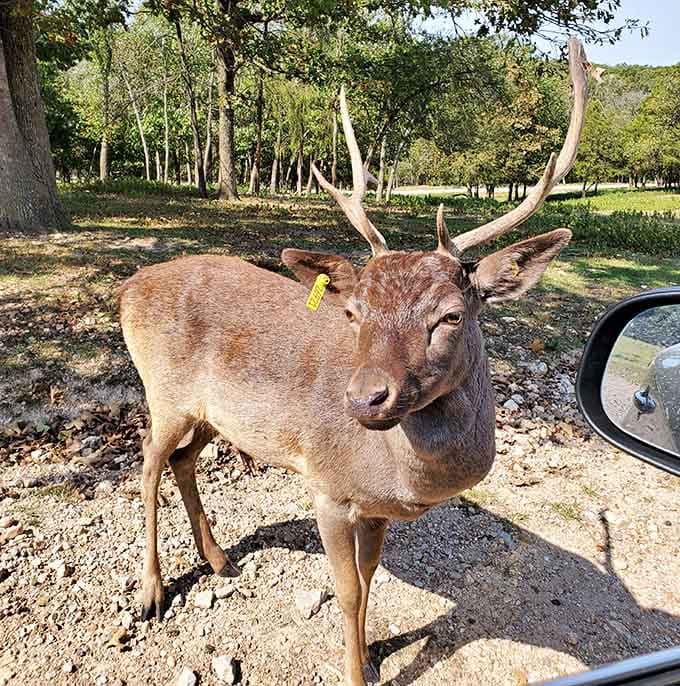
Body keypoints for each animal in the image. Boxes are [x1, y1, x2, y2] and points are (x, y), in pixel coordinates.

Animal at [118, 38, 589, 686]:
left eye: (451, 315)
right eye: (355, 311)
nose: (365, 397)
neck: (399, 478)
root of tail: (126, 288)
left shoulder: (375, 508)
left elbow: (368, 584)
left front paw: (369, 651)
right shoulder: (328, 487)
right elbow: (344, 592)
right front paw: (354, 669)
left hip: (213, 415)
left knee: (183, 461)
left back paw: (218, 559)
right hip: (163, 392)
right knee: (146, 465)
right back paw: (151, 591)